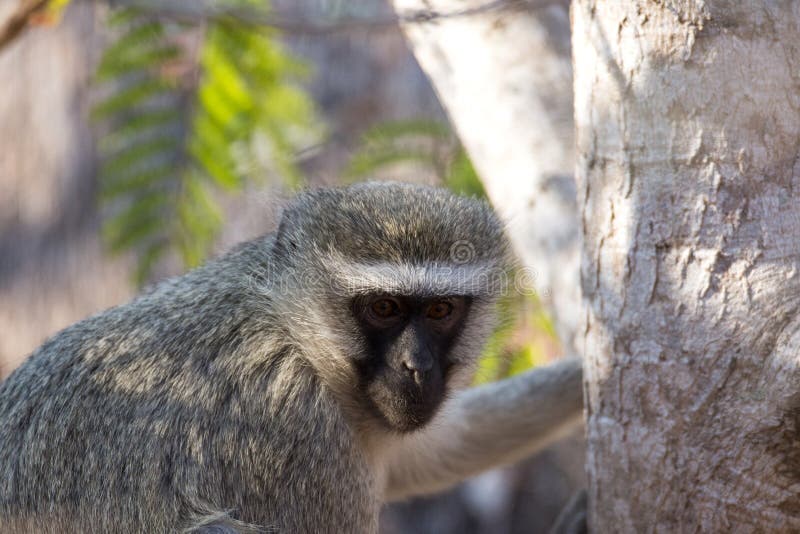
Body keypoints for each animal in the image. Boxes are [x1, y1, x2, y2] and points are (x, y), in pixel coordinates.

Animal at [0, 181, 584, 533]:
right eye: (384, 308)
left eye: (440, 310)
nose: (417, 367)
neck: (298, 333)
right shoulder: (296, 433)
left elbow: (432, 452)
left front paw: (584, 377)